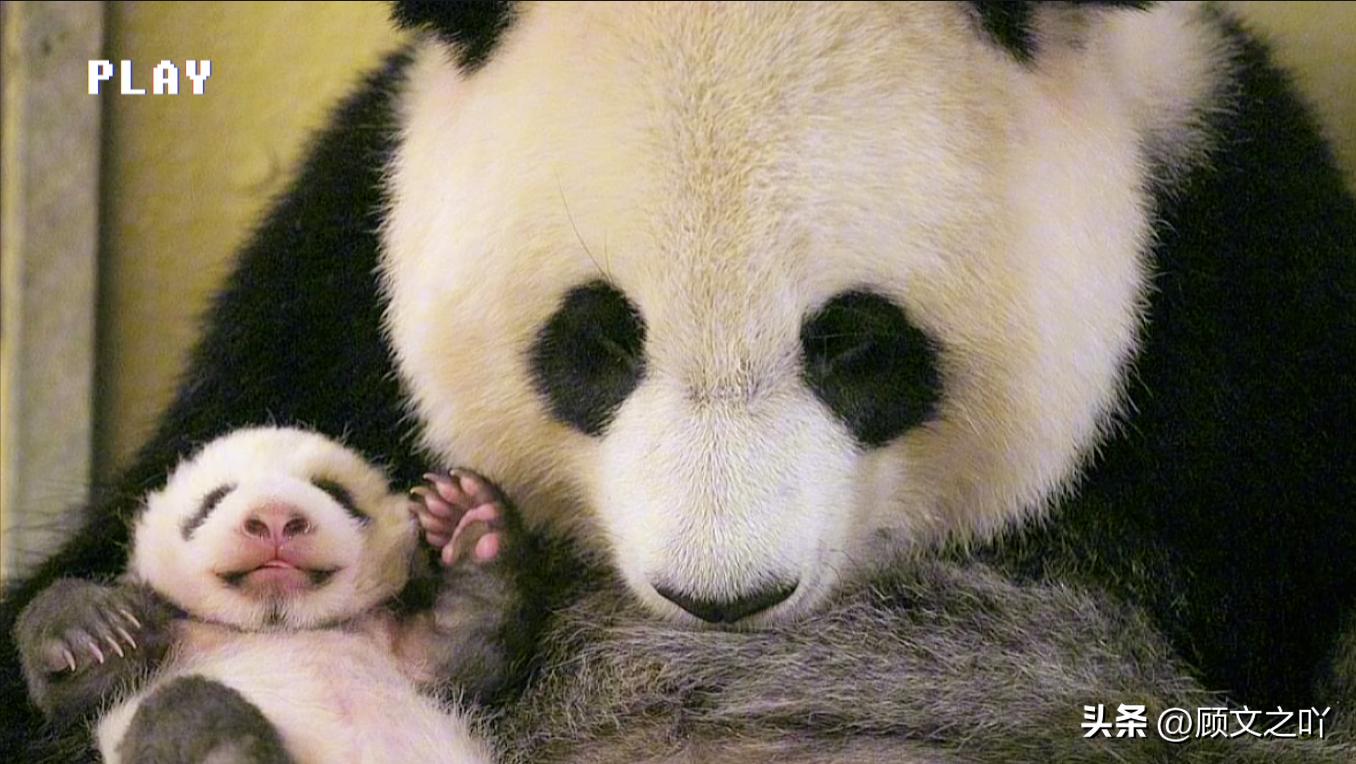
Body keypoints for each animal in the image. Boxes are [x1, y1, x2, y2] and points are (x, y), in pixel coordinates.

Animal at [15, 427, 514, 763]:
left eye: (335, 492)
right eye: (214, 500)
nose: (275, 517)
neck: (279, 625)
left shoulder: (395, 647)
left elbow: (463, 642)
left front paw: (467, 521)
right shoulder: (166, 645)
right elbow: (77, 690)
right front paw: (89, 627)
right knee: (184, 709)